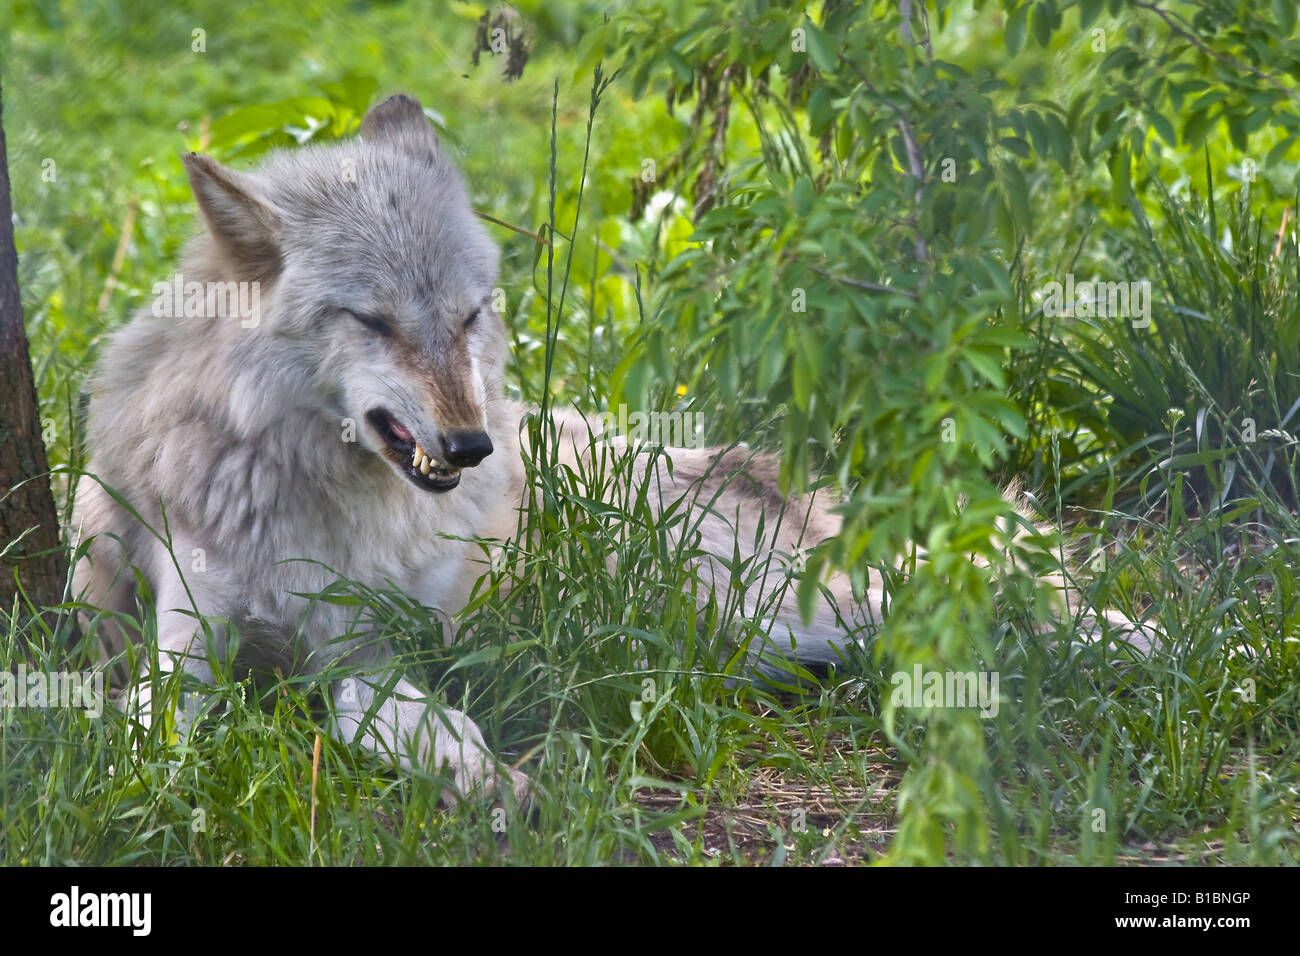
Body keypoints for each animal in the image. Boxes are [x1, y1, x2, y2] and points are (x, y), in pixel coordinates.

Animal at [71, 95, 1151, 803]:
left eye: (467, 317)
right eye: (373, 322)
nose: (472, 445)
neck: (311, 493)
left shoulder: (365, 650)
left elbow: (402, 719)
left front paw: (486, 778)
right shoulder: (189, 638)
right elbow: (155, 727)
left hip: (774, 602)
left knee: (975, 597)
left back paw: (1141, 638)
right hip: (772, 633)